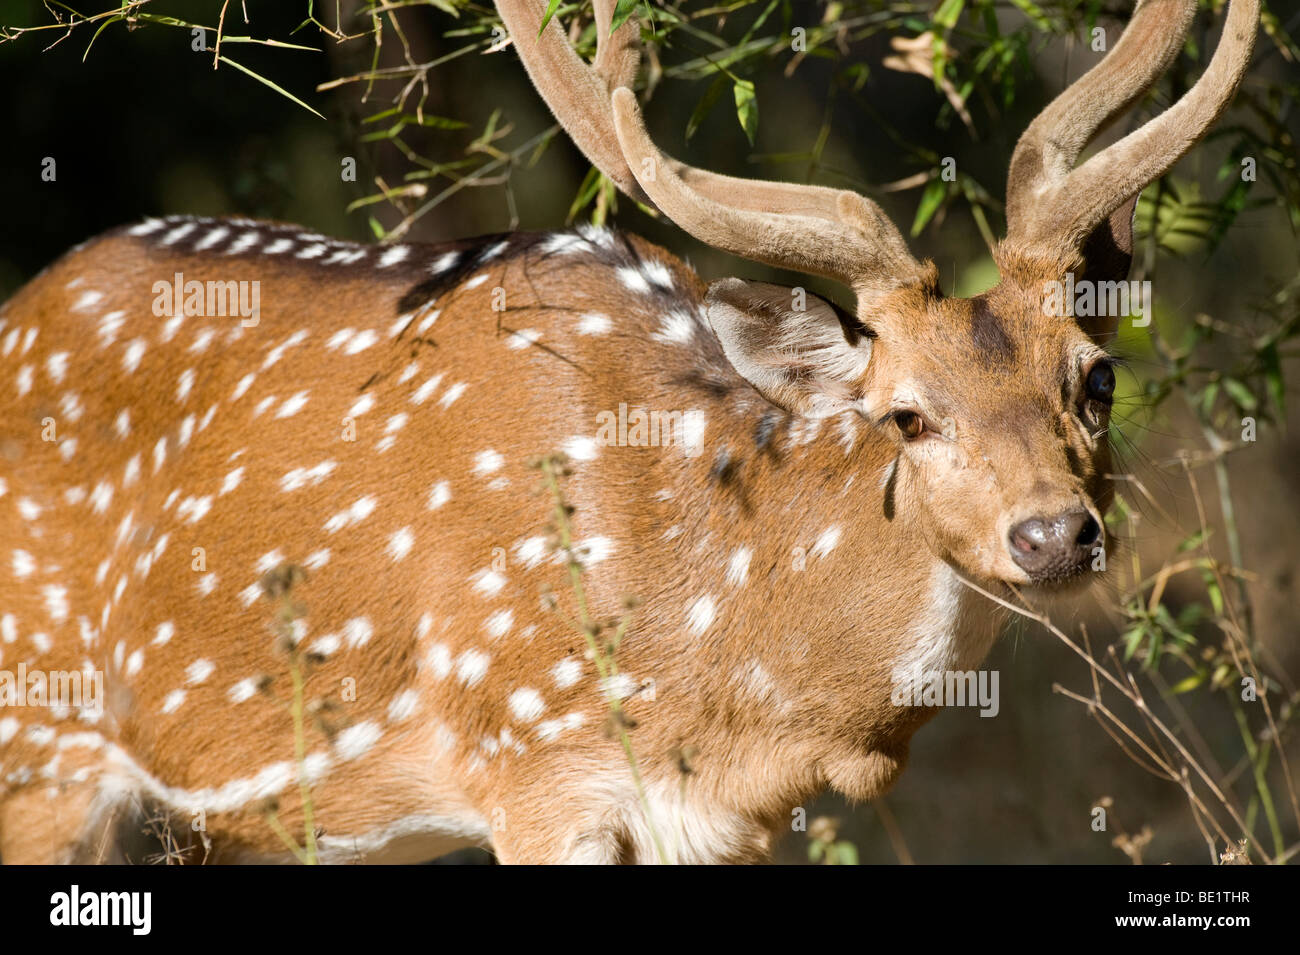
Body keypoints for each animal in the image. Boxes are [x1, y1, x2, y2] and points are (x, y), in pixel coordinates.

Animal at [0, 0, 1258, 864]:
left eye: (1094, 378)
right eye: (904, 413)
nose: (1053, 535)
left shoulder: (719, 827)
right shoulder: (533, 766)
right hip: (38, 745)